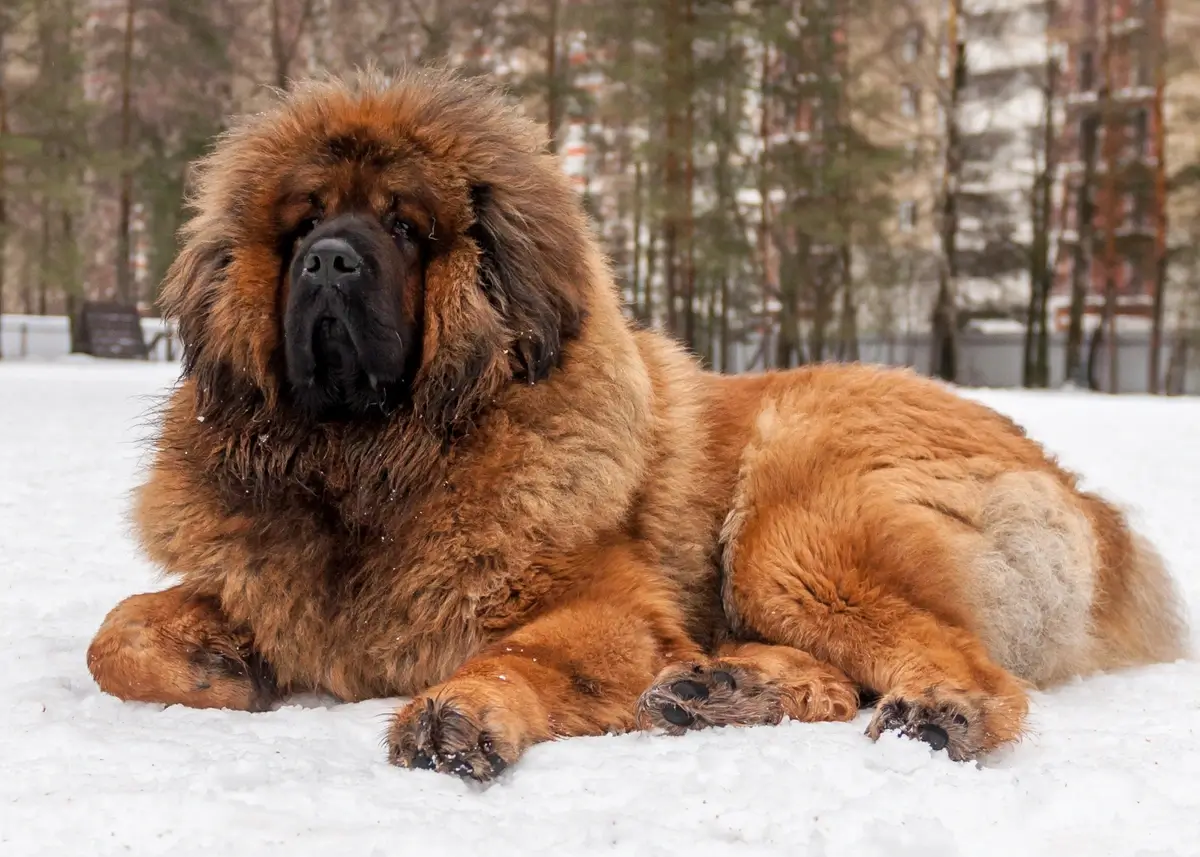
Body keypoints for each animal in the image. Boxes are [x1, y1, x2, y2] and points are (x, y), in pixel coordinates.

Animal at [87, 68, 1190, 772]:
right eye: (306, 223)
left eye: (404, 227)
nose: (328, 261)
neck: (376, 466)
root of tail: (1093, 507)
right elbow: (114, 635)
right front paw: (220, 662)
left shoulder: (610, 608)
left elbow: (518, 652)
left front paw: (460, 710)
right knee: (838, 680)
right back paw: (724, 688)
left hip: (794, 527)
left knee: (969, 670)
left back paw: (936, 710)